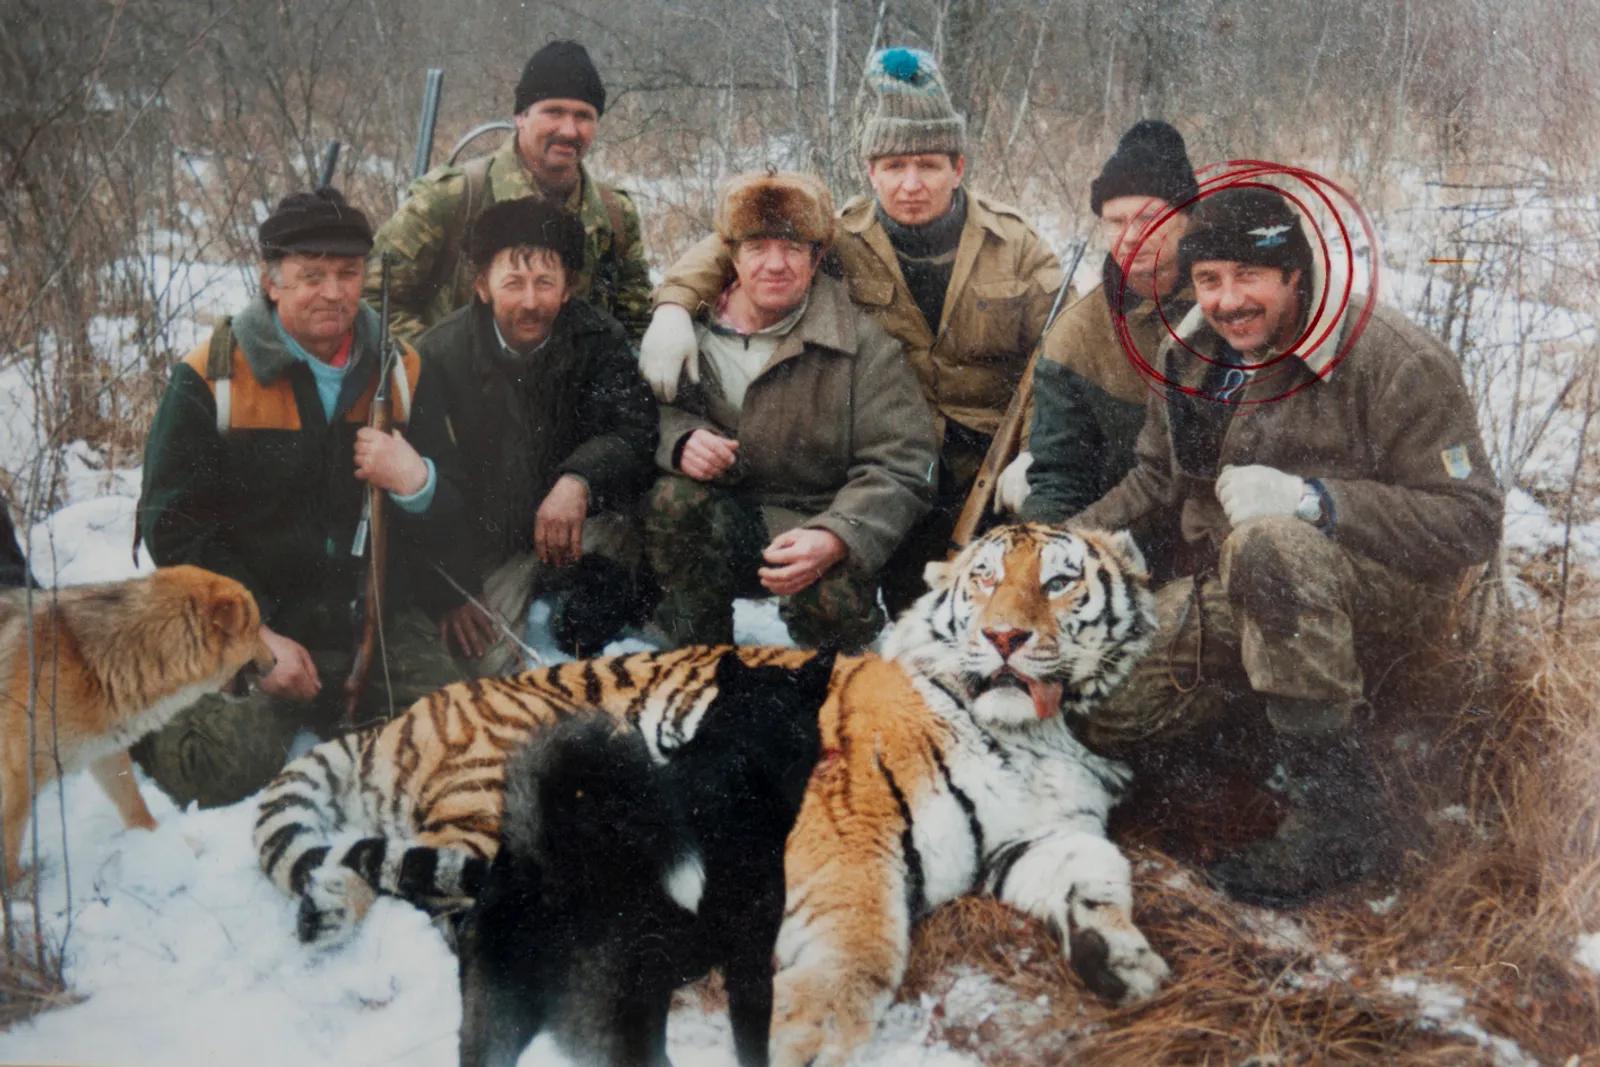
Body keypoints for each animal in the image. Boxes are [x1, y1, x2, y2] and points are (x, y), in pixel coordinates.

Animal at [252, 522, 1168, 1066]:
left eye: (1058, 583)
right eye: (982, 581)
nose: (1004, 635)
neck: (1037, 736)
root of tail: (400, 716)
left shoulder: (1042, 832)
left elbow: (1101, 872)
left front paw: (1123, 958)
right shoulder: (850, 816)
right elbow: (861, 936)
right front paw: (808, 1031)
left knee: (381, 869)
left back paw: (323, 908)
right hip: (518, 792)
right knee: (464, 904)